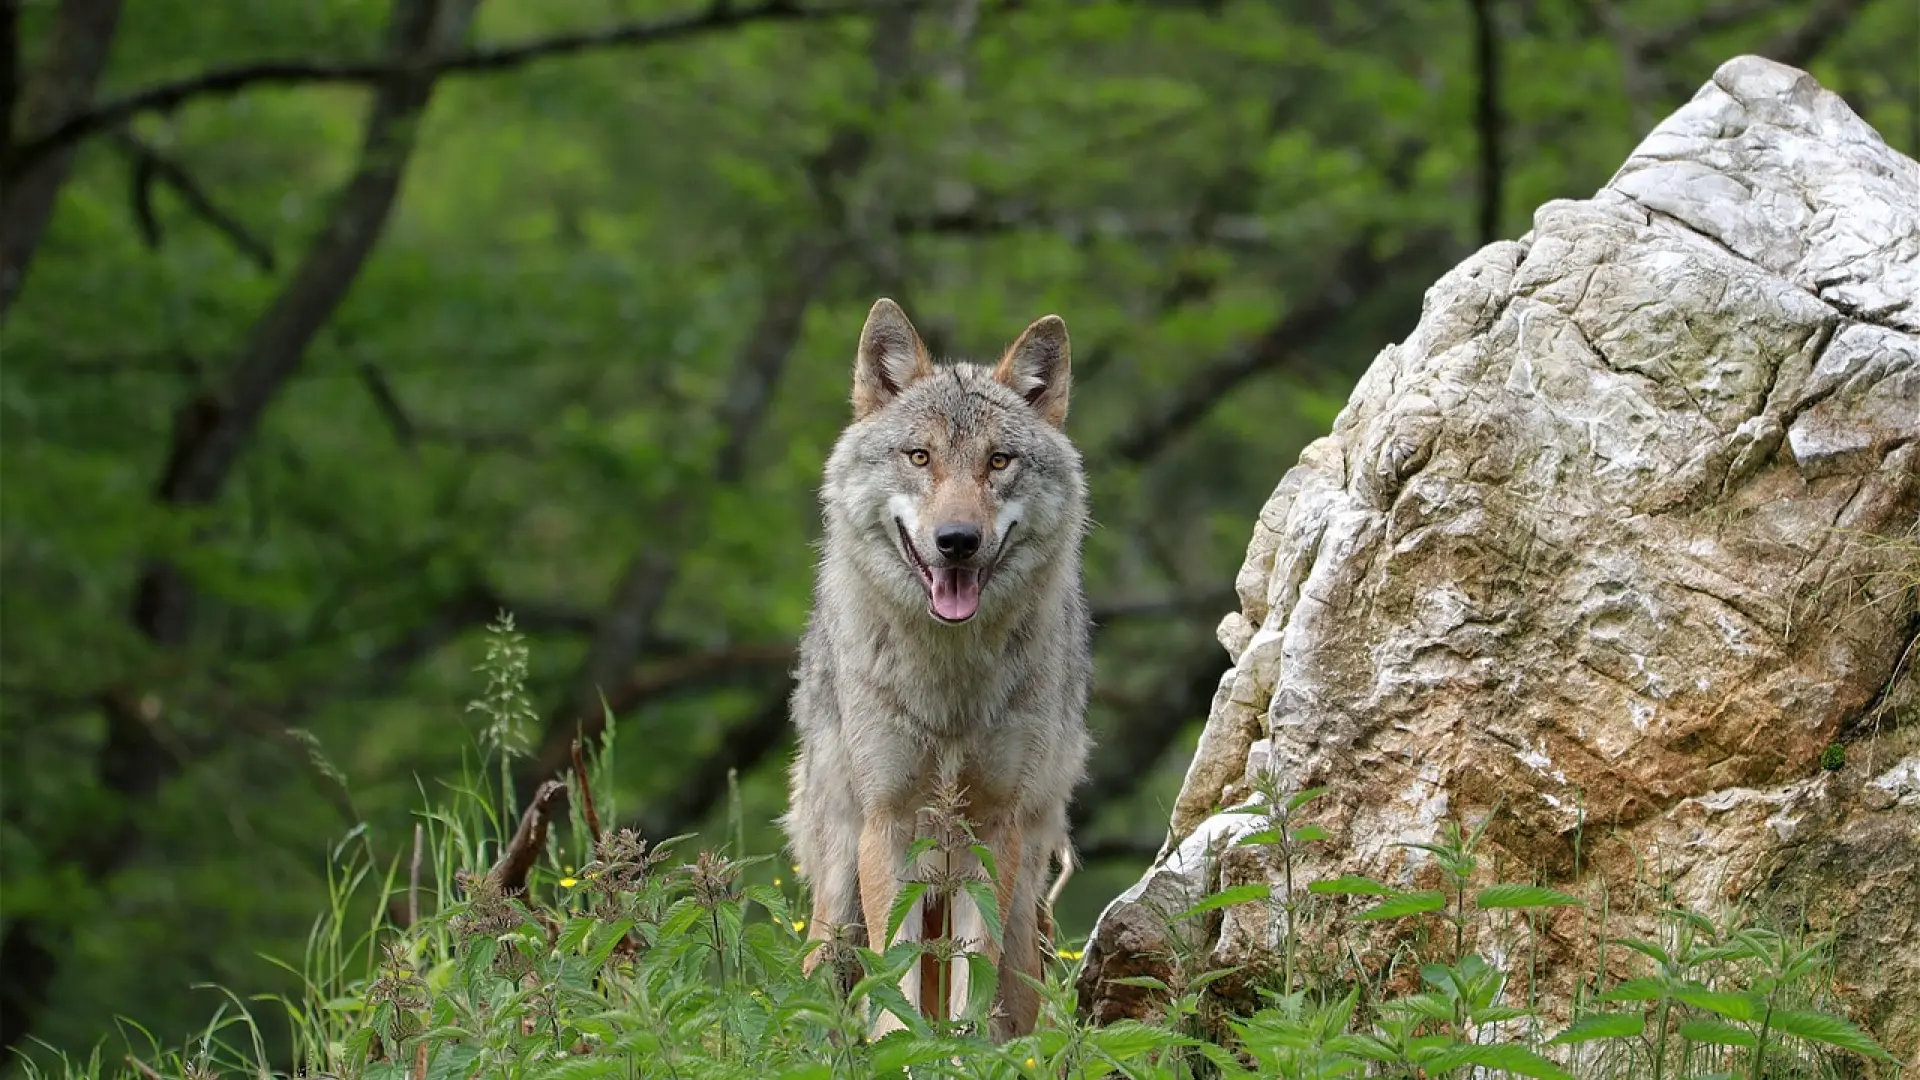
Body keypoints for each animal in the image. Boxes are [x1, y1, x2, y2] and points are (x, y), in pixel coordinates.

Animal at [781, 298, 1094, 1041]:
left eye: (998, 460)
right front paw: (902, 1052)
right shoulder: (887, 826)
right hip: (838, 898)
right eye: (919, 456)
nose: (957, 541)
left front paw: (961, 1055)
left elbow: (970, 985)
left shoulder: (992, 831)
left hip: (1022, 904)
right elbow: (892, 982)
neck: (950, 689)